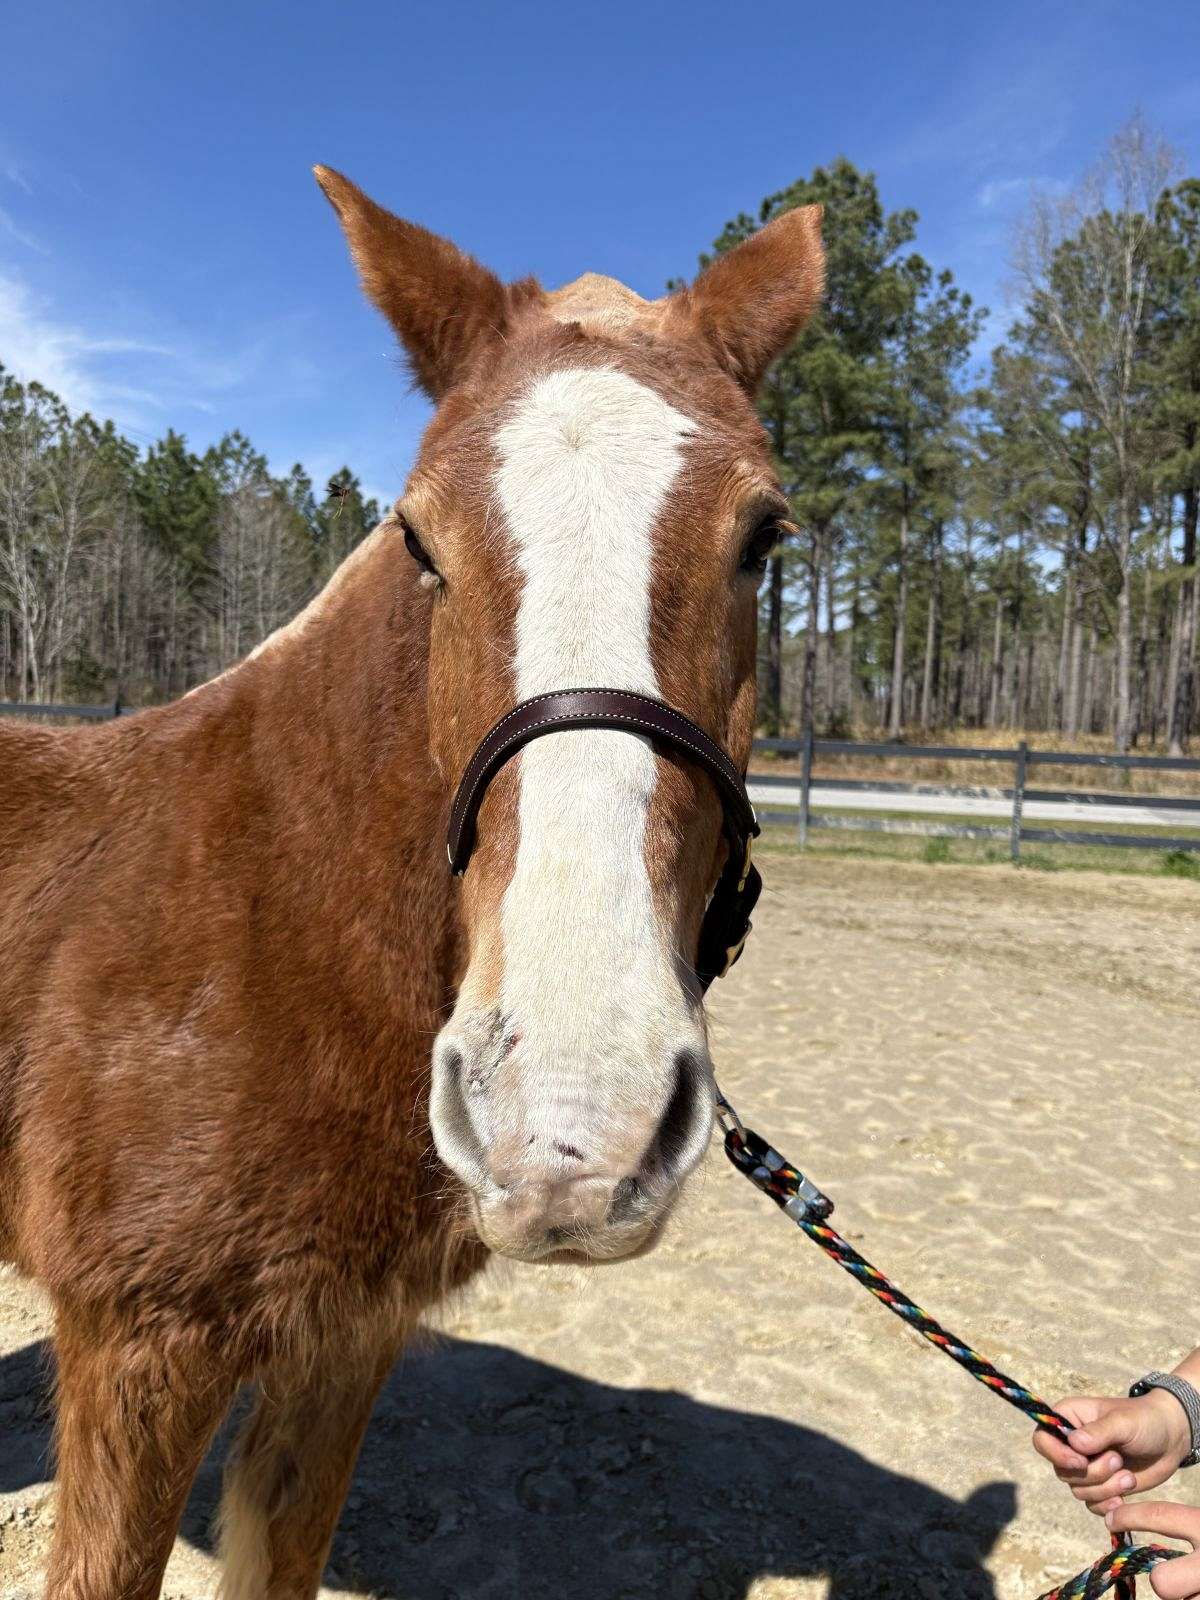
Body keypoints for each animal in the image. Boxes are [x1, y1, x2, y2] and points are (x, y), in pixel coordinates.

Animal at [0, 166, 823, 1600]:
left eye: (764, 539)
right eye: (421, 539)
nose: (571, 1135)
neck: (275, 916)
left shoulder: (342, 1344)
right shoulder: (137, 1349)